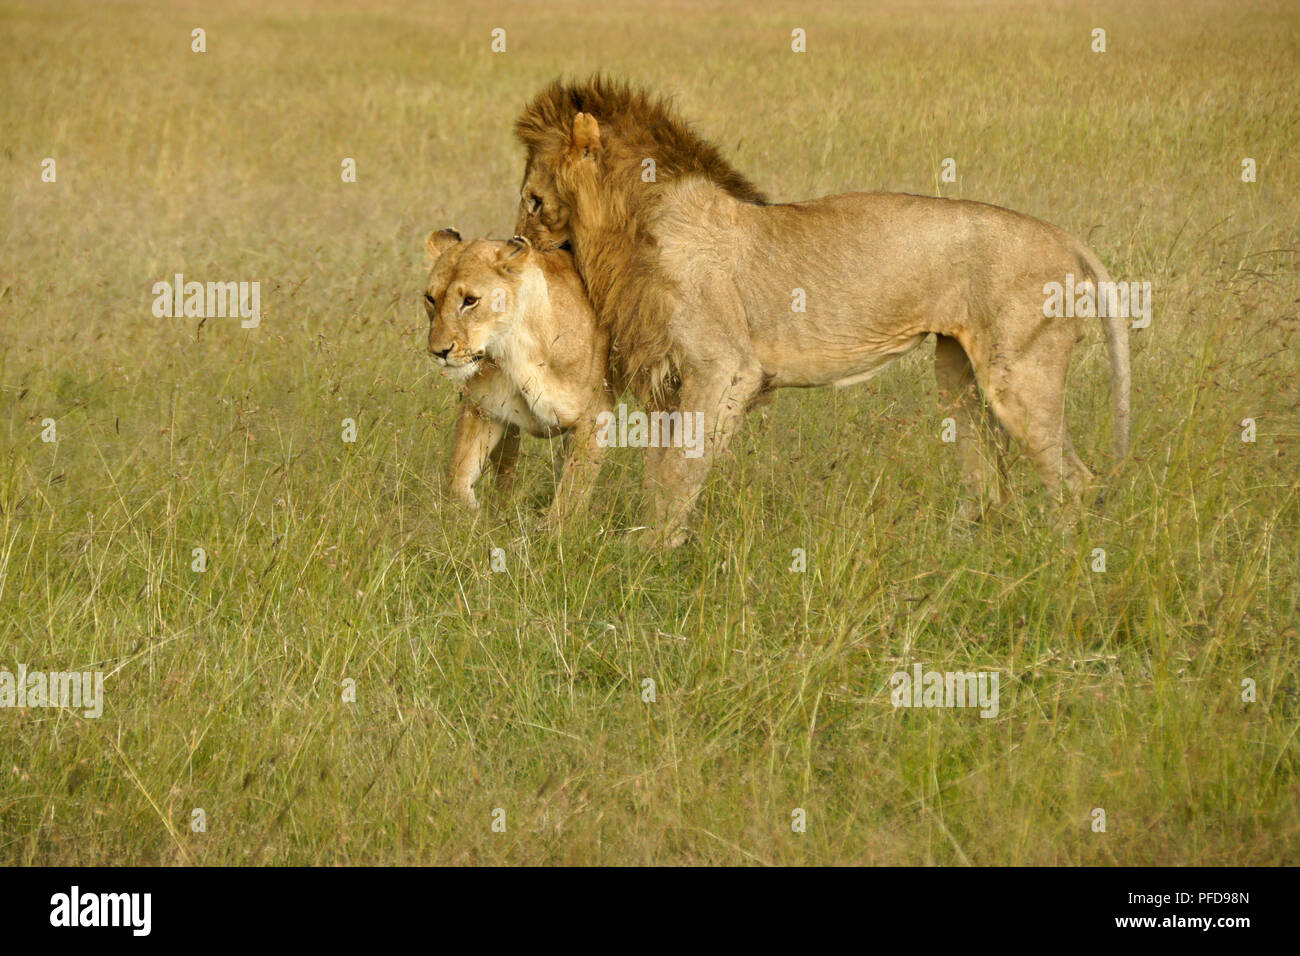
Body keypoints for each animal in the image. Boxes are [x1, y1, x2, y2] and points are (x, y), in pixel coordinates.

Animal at [423, 228, 614, 523]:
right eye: (430, 299)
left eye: (470, 301)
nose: (439, 351)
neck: (517, 350)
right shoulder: (483, 409)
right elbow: (458, 475)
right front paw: (473, 516)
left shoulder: (596, 416)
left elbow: (571, 496)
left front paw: (552, 530)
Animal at [513, 77, 1131, 546]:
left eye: (534, 201)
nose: (516, 243)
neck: (630, 226)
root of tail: (1065, 237)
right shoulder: (666, 377)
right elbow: (659, 471)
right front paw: (653, 541)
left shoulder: (725, 367)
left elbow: (678, 470)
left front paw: (654, 553)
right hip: (957, 370)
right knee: (992, 482)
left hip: (1019, 373)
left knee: (1075, 482)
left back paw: (1057, 566)